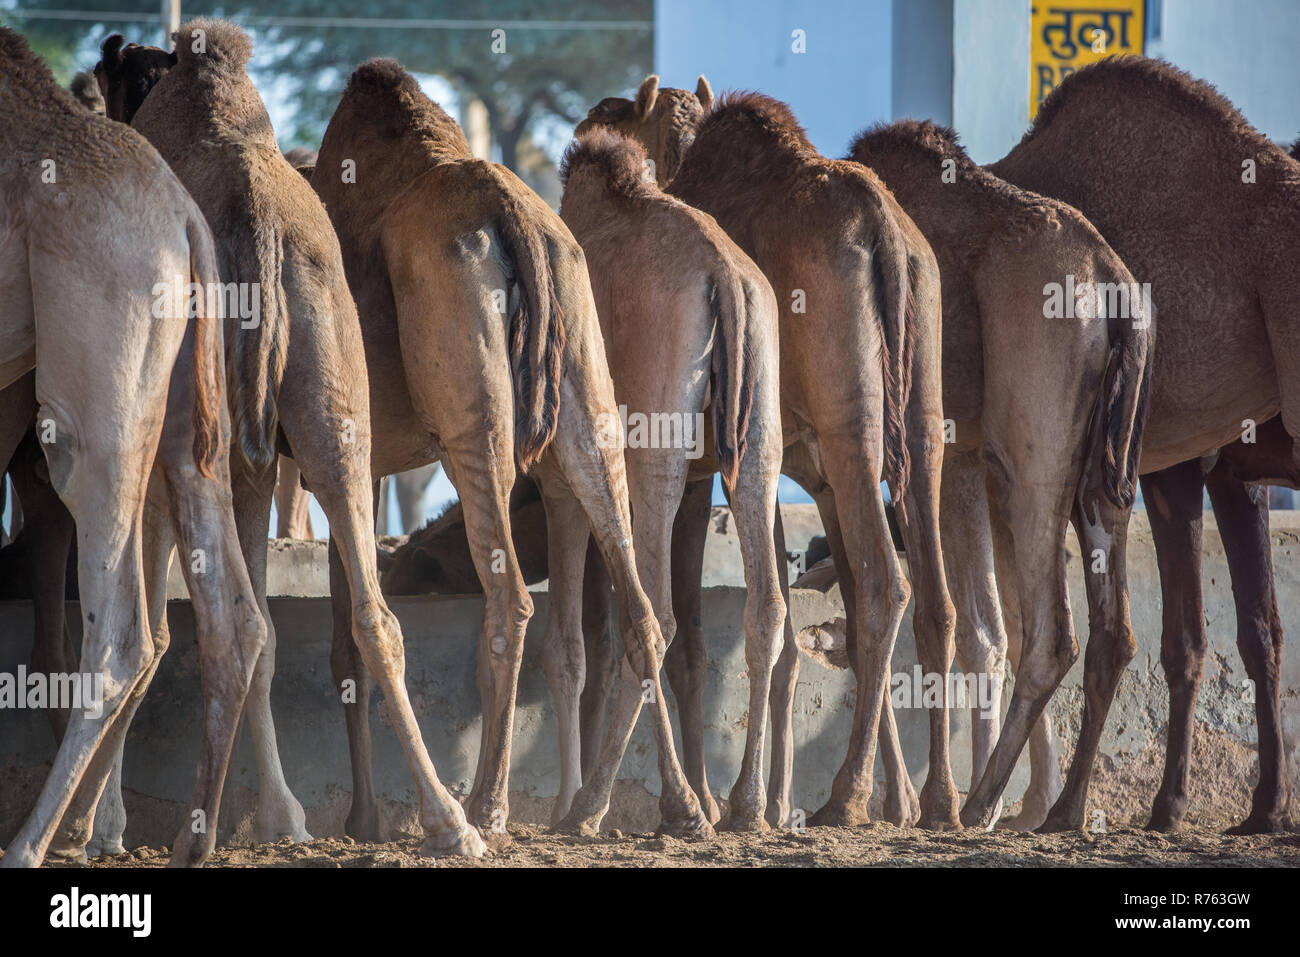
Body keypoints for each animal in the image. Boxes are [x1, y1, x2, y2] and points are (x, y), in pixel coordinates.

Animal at [0, 27, 265, 867]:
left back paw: (32, 842)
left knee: (119, 635)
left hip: (96, 389)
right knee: (232, 618)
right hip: (184, 410)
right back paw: (185, 840)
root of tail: (184, 217)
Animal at [310, 60, 711, 841]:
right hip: (585, 372)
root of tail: (515, 218)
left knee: (511, 600)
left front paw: (364, 818)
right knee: (644, 609)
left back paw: (485, 806)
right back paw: (663, 809)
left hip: (473, 414)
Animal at [580, 78, 958, 829]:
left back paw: (842, 795)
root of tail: (886, 234)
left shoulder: (713, 467)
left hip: (847, 426)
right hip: (918, 417)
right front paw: (799, 798)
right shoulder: (795, 469)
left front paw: (723, 798)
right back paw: (937, 800)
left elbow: (695, 631)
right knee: (929, 597)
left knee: (885, 583)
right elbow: (804, 618)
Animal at [847, 120, 1150, 830]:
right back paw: (1061, 809)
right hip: (1099, 473)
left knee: (1050, 635)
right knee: (1111, 630)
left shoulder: (948, 454)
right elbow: (985, 625)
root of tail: (1114, 286)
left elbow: (970, 622)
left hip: (1029, 449)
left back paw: (984, 799)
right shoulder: (966, 458)